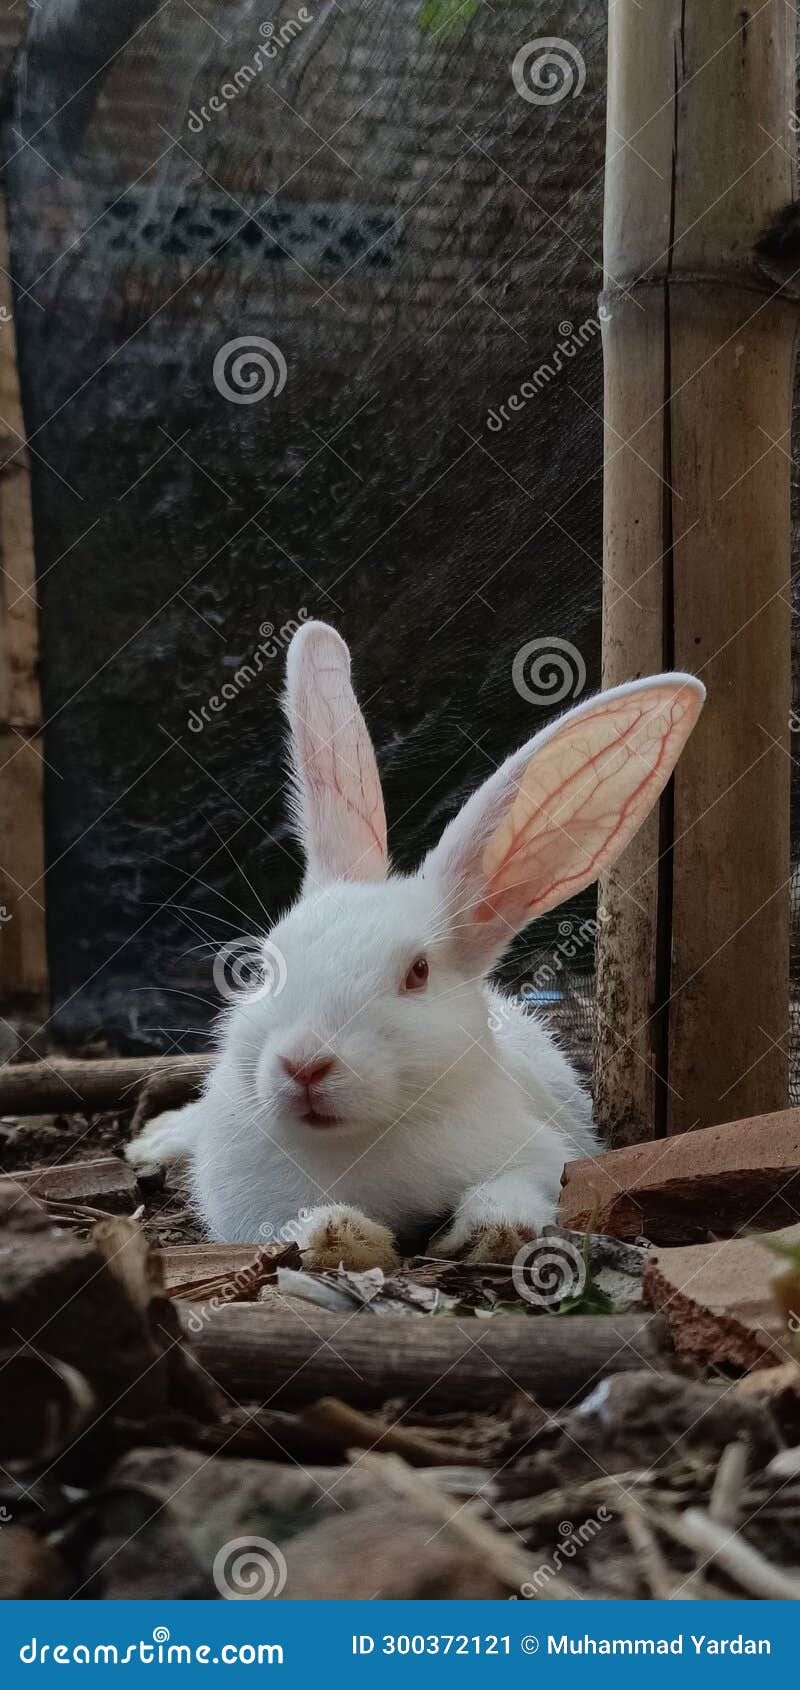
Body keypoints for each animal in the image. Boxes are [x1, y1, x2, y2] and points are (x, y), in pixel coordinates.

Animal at [127, 620, 704, 1270]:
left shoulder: (543, 1159)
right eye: (265, 967)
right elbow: (292, 1227)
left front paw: (488, 1233)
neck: (361, 1141)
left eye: (418, 973)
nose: (304, 1064)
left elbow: (516, 1194)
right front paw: (343, 1234)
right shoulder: (245, 1204)